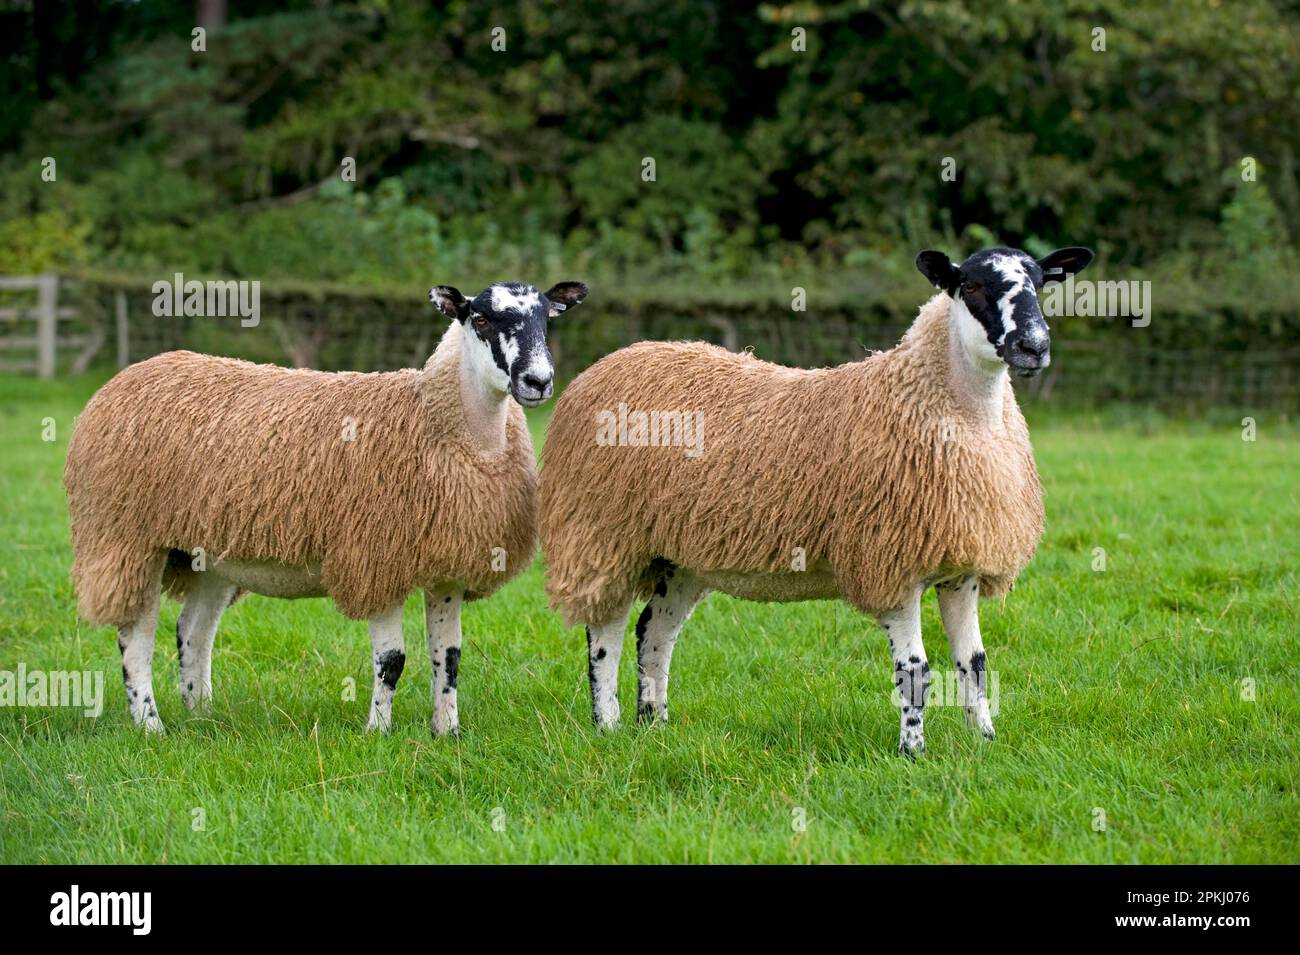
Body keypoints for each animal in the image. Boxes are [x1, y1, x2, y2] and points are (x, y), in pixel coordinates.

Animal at [64, 280, 588, 735]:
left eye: (548, 318)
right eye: (479, 319)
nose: (538, 382)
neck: (442, 422)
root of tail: (126, 377)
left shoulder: (447, 567)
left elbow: (450, 657)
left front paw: (448, 733)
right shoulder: (377, 559)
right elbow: (393, 660)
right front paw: (378, 733)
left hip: (210, 553)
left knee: (192, 631)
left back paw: (202, 714)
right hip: (126, 537)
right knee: (135, 638)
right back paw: (150, 724)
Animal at [540, 246, 1092, 754]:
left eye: (1041, 283)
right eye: (972, 286)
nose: (1033, 346)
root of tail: (605, 364)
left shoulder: (962, 567)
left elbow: (974, 664)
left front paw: (985, 742)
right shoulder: (889, 563)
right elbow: (915, 671)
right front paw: (912, 753)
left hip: (681, 557)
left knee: (653, 634)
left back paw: (654, 726)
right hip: (602, 534)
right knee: (605, 634)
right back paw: (608, 727)